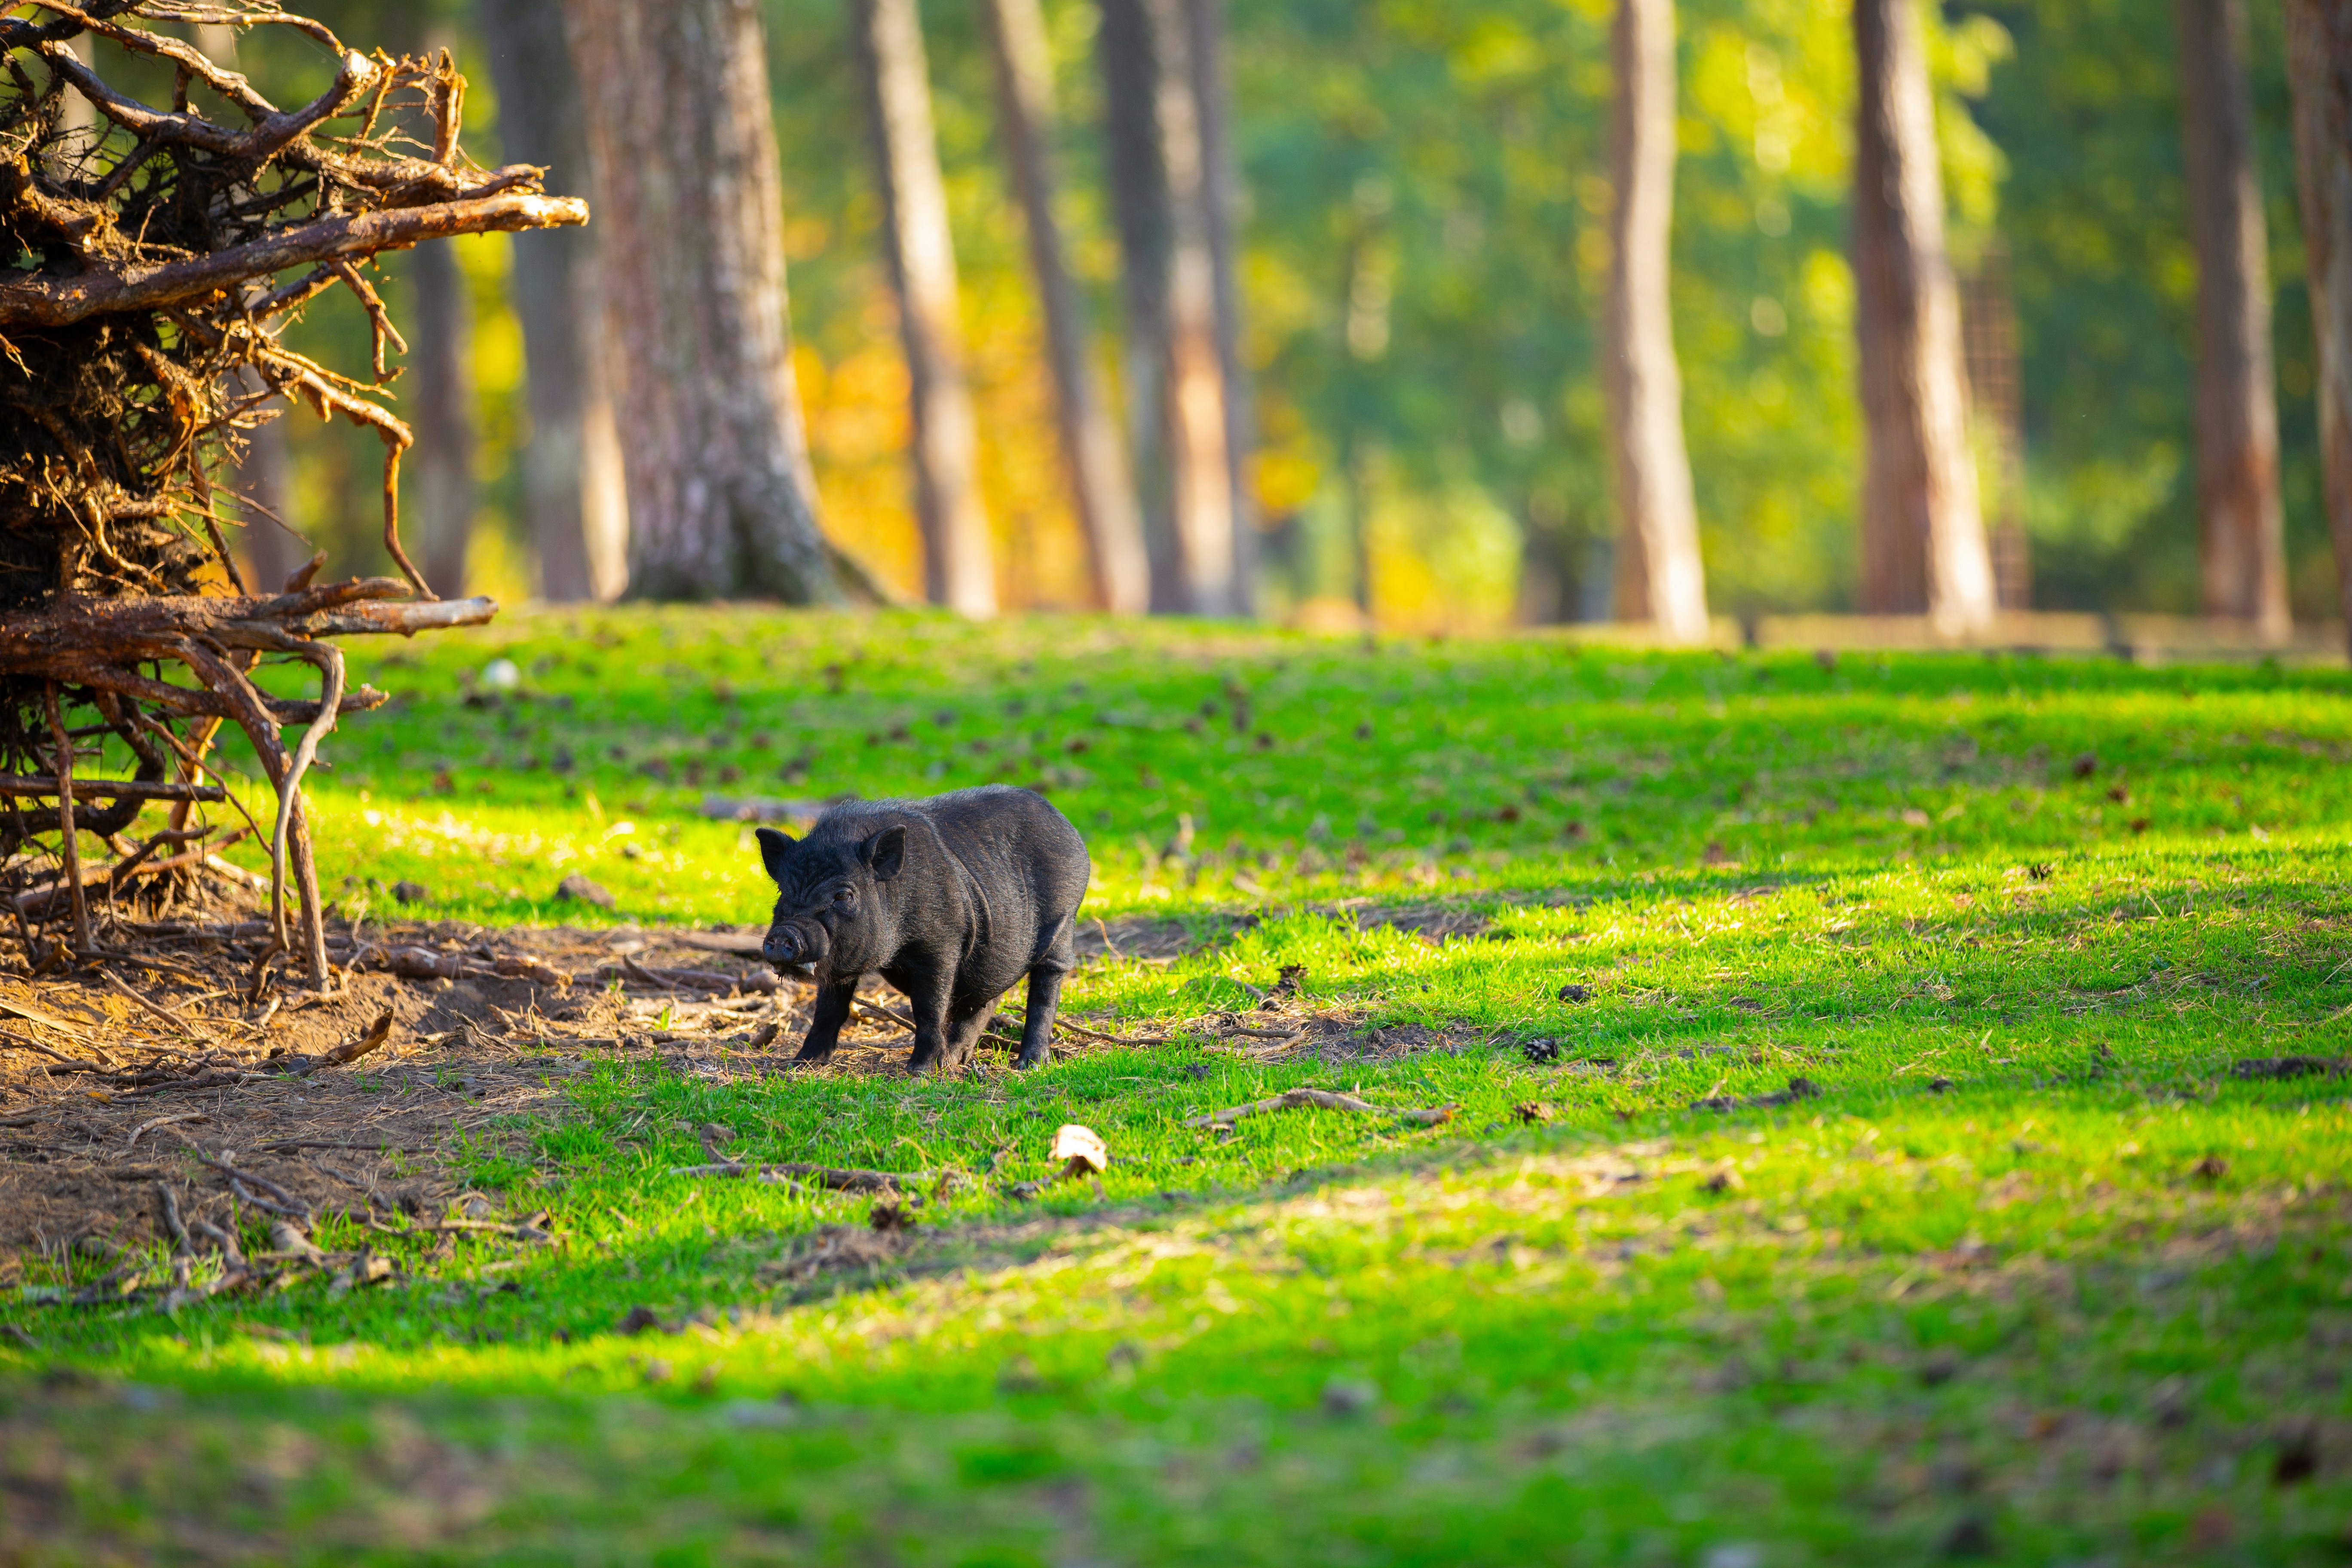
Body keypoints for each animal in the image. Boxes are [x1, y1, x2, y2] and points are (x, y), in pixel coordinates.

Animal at [756, 785, 1090, 1073]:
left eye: (843, 896)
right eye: (782, 891)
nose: (785, 934)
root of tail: (1067, 826)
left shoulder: (942, 945)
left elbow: (929, 1008)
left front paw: (919, 1071)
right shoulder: (840, 963)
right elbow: (829, 1011)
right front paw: (799, 1065)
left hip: (1063, 922)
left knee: (1047, 986)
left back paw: (1029, 1065)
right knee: (987, 998)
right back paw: (955, 1060)